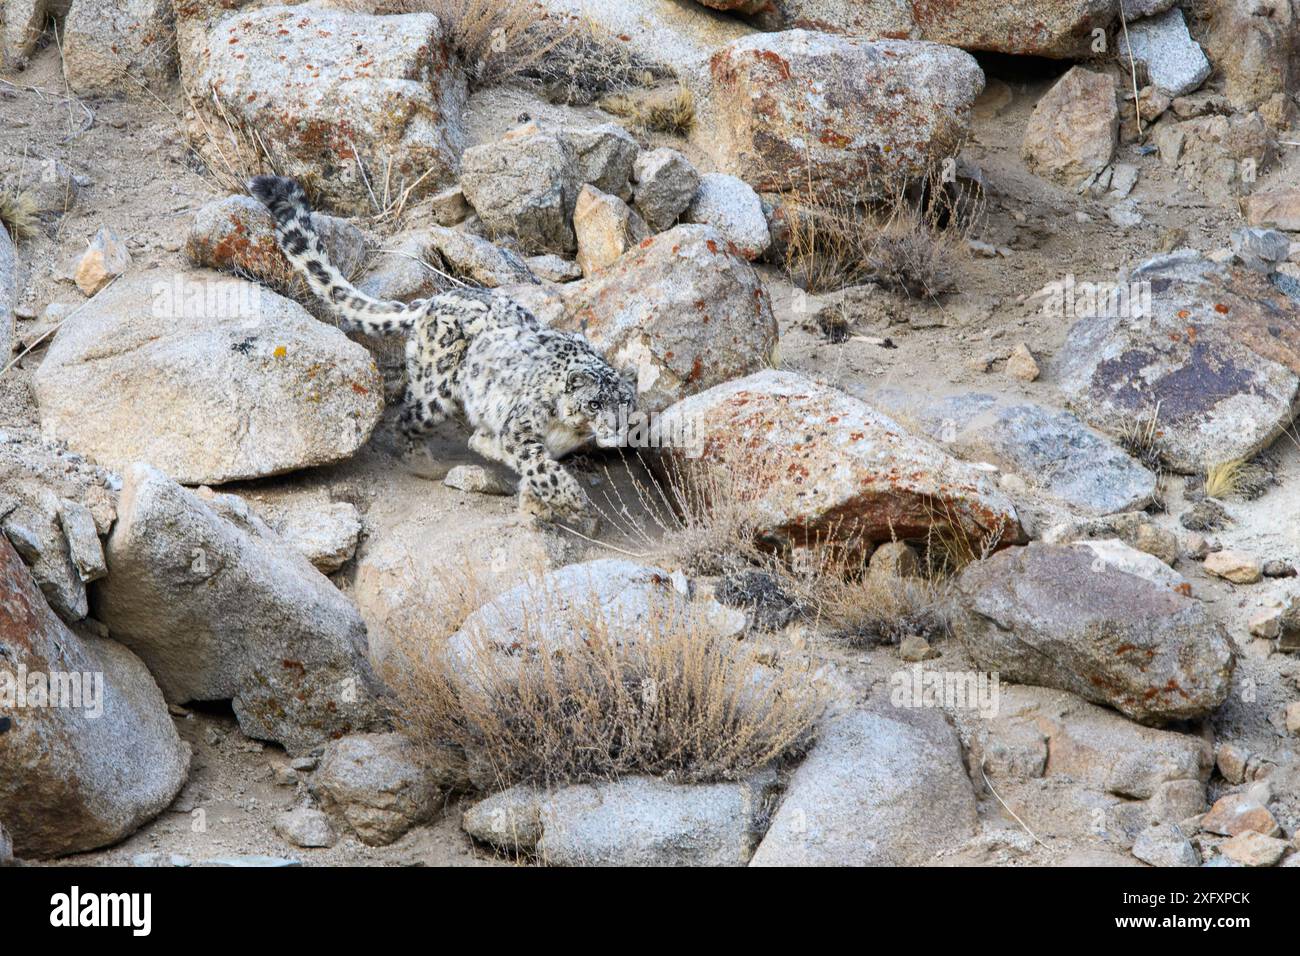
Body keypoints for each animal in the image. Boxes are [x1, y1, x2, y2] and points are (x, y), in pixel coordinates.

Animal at [247, 175, 636, 529]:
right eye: (595, 403)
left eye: (625, 401)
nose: (616, 427)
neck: (568, 429)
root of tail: (430, 301)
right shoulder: (521, 428)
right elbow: (544, 469)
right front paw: (574, 502)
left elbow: (536, 471)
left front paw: (536, 506)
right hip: (436, 390)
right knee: (406, 420)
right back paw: (425, 465)